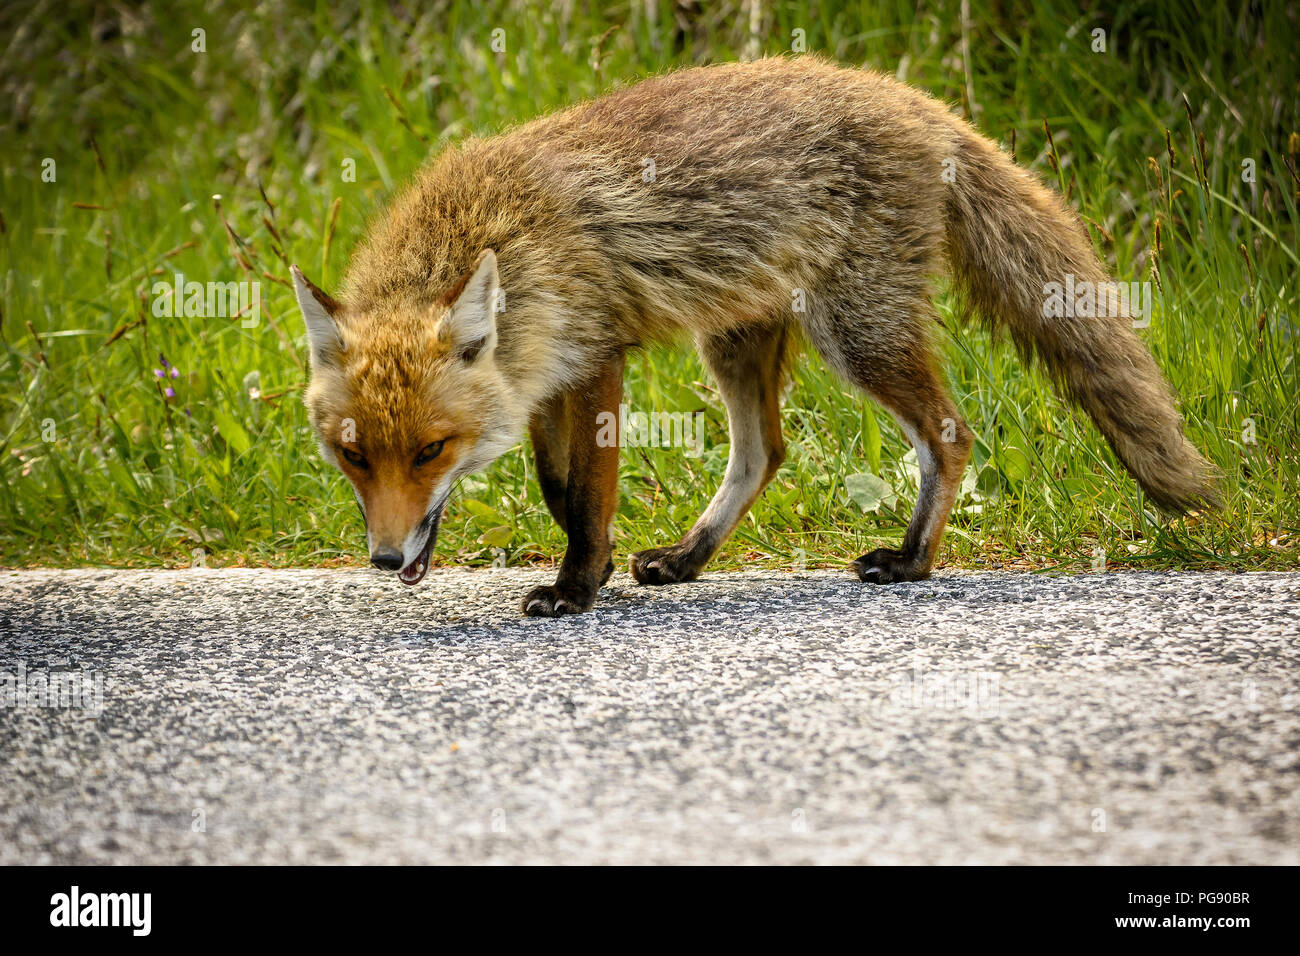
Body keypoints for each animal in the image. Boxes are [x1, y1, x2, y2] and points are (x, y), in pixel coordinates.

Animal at [291, 55, 1217, 617]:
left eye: (430, 451)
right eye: (353, 456)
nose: (383, 560)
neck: (500, 235)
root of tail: (916, 100)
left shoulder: (594, 362)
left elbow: (585, 498)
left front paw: (577, 586)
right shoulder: (547, 375)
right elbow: (558, 489)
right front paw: (594, 567)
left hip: (857, 332)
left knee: (949, 436)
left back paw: (910, 561)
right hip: (734, 340)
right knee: (764, 451)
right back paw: (688, 557)